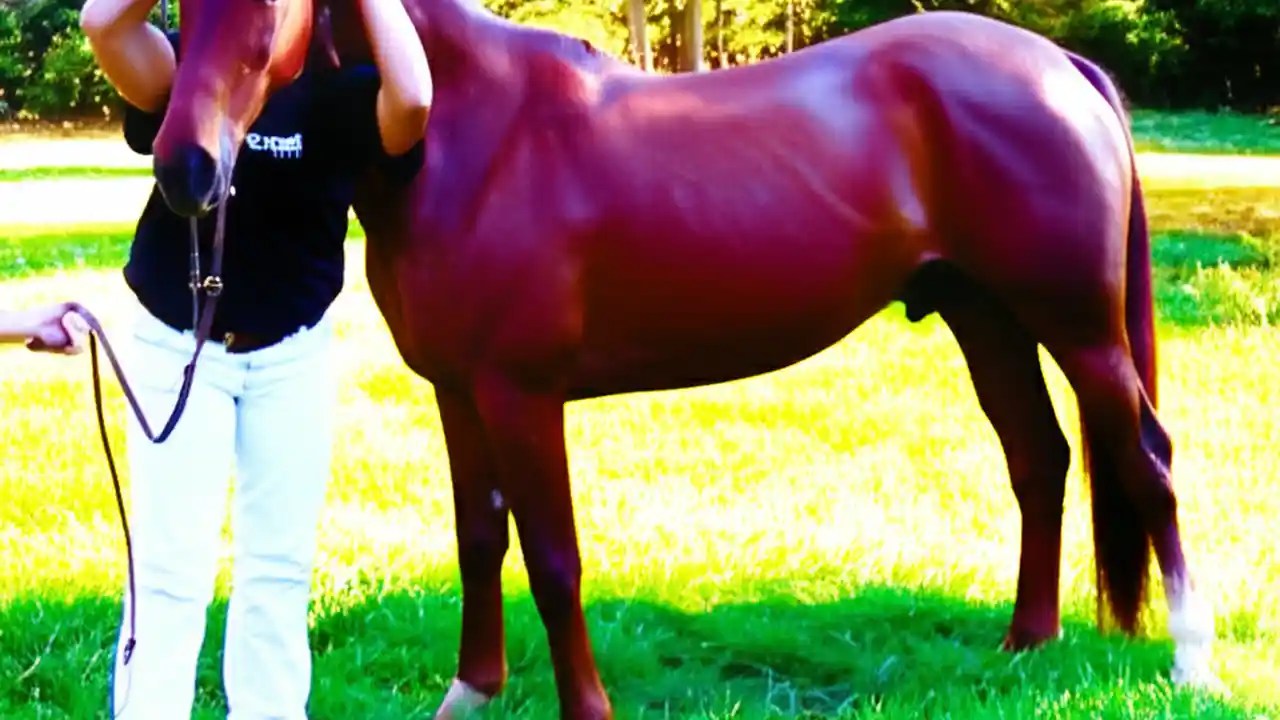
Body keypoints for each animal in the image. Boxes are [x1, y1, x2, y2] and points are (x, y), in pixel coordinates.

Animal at [145, 0, 1220, 717]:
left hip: (1079, 330)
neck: (455, 131)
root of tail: (1061, 66)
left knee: (1149, 462)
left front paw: (585, 708)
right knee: (1040, 460)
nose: (186, 167)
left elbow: (554, 558)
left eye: (270, 6)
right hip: (985, 317)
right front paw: (471, 693)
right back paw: (1024, 645)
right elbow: (480, 540)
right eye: (182, 5)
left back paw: (1191, 664)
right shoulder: (458, 391)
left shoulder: (521, 396)